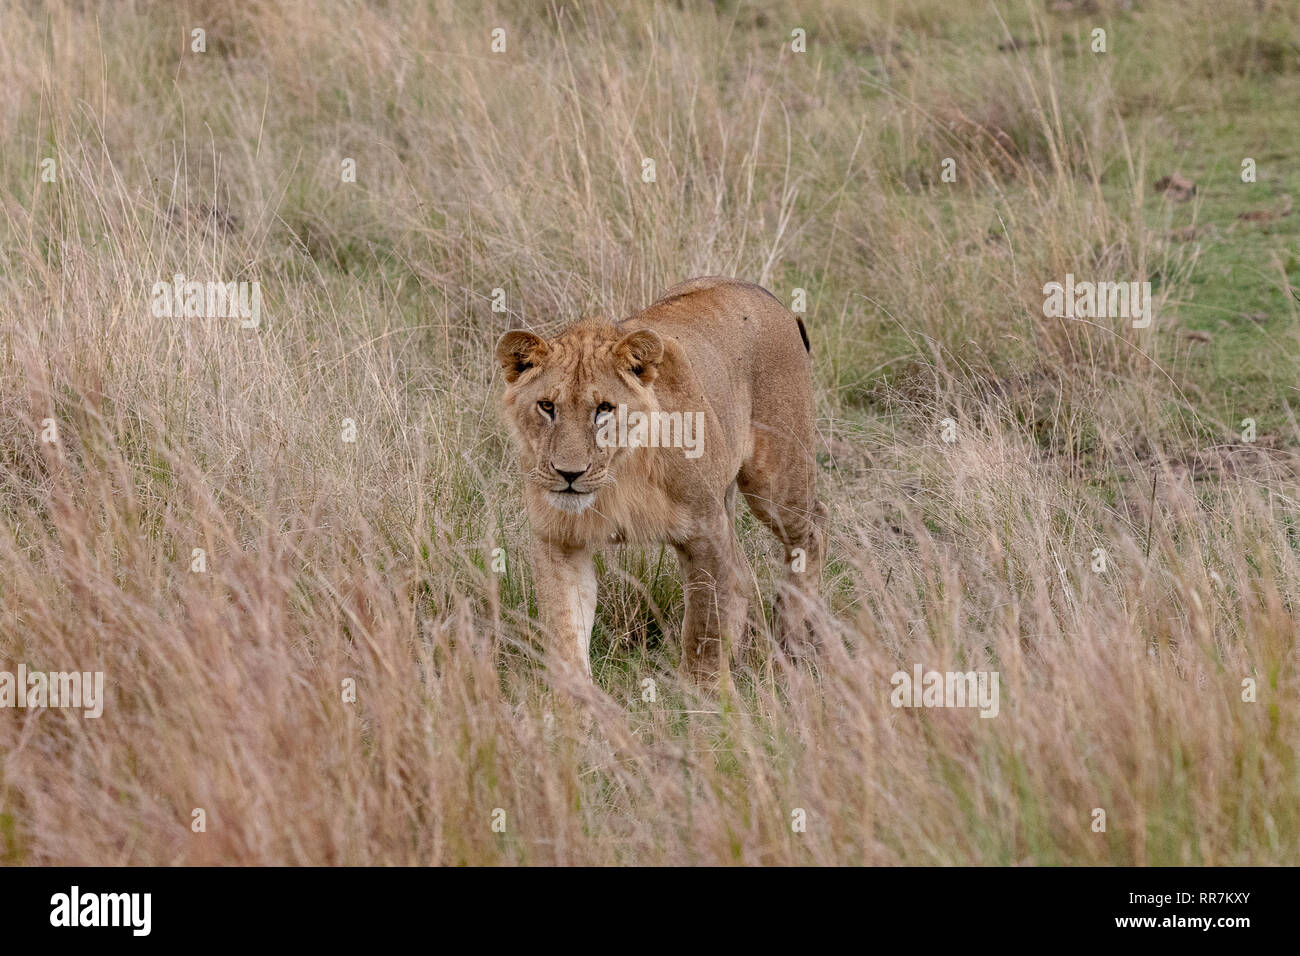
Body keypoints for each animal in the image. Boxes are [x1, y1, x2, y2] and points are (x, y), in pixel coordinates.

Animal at [496, 277, 821, 681]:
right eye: (546, 406)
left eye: (604, 409)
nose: (569, 474)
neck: (618, 477)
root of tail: (763, 292)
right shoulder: (559, 540)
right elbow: (565, 630)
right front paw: (574, 695)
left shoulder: (704, 530)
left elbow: (702, 628)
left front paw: (705, 690)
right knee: (741, 574)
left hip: (776, 478)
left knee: (812, 529)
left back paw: (792, 632)